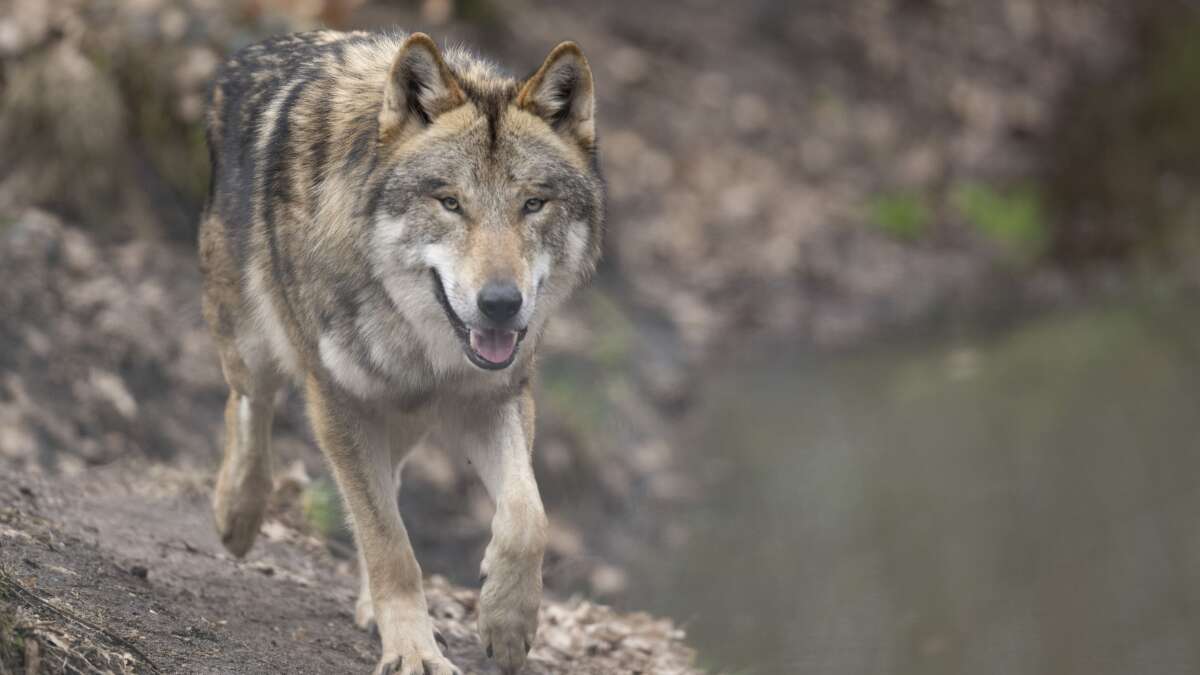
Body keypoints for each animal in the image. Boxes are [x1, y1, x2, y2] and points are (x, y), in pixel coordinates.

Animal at [198, 29, 603, 674]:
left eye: (533, 204)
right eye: (450, 203)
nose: (500, 304)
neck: (422, 338)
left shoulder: (495, 398)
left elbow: (526, 517)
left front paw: (507, 622)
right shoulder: (337, 403)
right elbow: (389, 544)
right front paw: (414, 651)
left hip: (404, 416)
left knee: (389, 481)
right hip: (254, 344)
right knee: (248, 407)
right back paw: (237, 512)